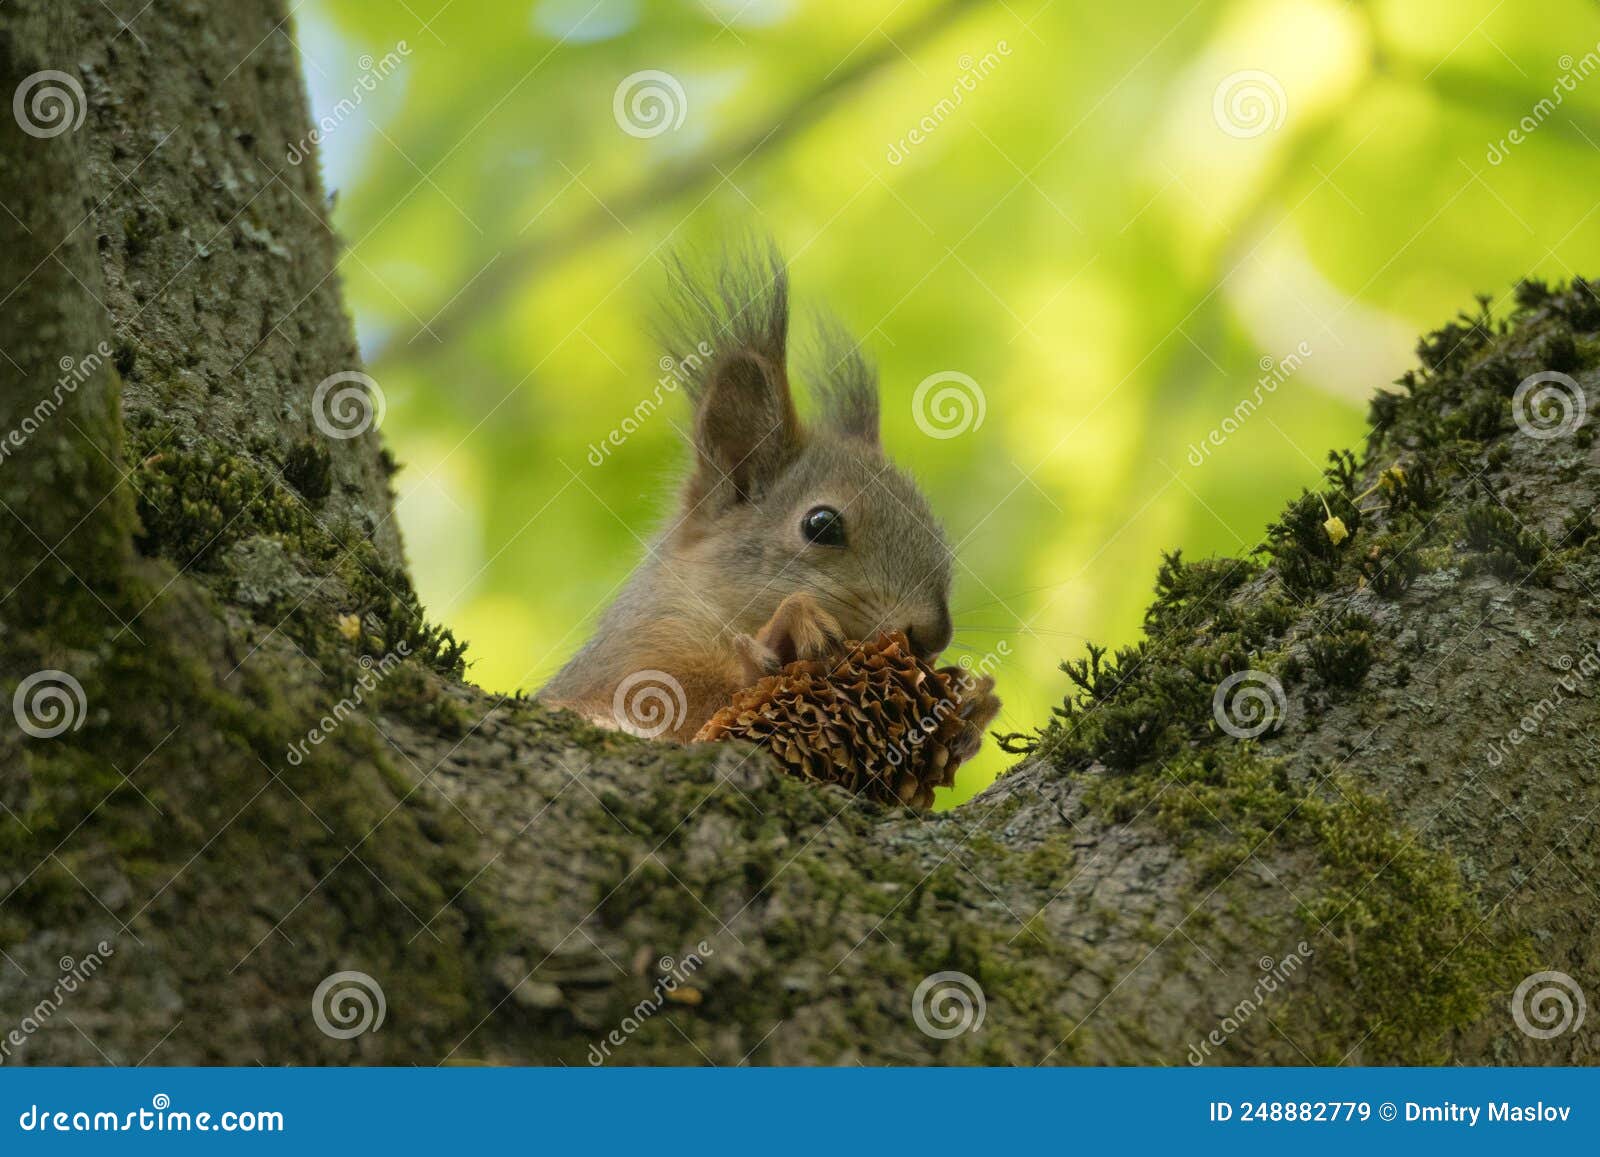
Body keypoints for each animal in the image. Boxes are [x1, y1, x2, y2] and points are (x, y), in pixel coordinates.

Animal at [541, 246, 999, 758]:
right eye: (820, 524)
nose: (934, 634)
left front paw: (974, 704)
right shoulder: (637, 657)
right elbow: (670, 701)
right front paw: (789, 629)